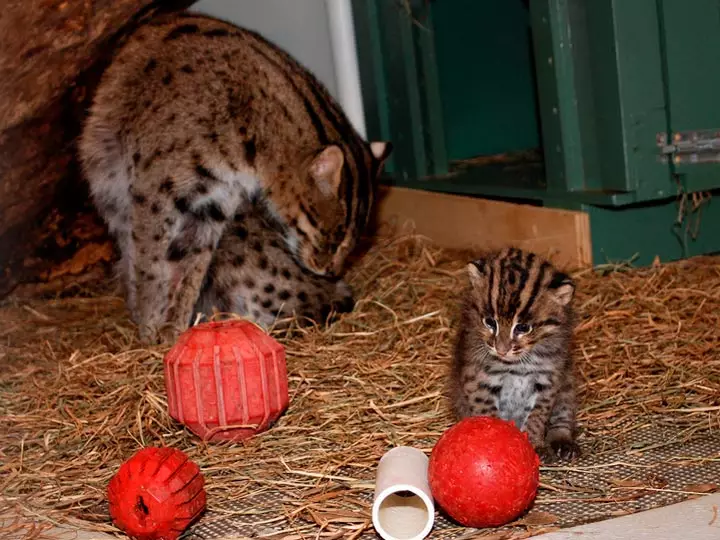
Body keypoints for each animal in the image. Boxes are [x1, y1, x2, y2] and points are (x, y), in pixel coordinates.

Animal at [452, 247, 584, 462]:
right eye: (490, 322)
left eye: (523, 328)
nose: (501, 349)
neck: (517, 362)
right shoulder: (479, 379)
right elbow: (487, 413)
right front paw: (494, 441)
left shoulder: (549, 378)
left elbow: (538, 414)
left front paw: (535, 443)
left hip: (567, 385)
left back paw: (562, 441)